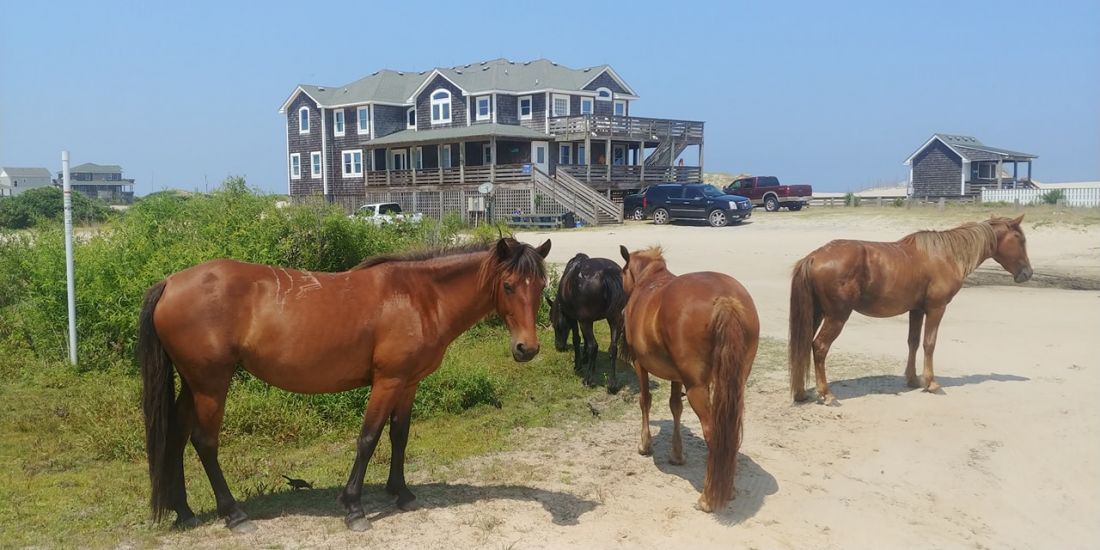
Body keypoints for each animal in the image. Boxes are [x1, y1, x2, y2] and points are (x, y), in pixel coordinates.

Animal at [139, 237, 551, 533]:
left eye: (541, 285)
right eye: (509, 286)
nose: (526, 349)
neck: (419, 297)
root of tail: (170, 282)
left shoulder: (408, 384)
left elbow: (398, 435)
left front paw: (401, 493)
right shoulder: (387, 381)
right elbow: (368, 439)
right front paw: (354, 507)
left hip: (193, 384)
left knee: (176, 437)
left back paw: (184, 512)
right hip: (211, 384)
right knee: (204, 443)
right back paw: (234, 514)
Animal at [547, 253, 627, 393]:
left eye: (553, 321)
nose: (559, 347)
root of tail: (606, 272)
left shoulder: (574, 319)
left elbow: (577, 339)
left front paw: (578, 365)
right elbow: (584, 339)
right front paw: (585, 360)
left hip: (586, 321)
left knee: (593, 346)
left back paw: (588, 380)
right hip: (614, 318)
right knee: (613, 348)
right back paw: (612, 384)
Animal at [619, 245, 759, 513]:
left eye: (622, 272)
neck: (649, 282)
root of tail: (725, 300)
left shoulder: (640, 365)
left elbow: (645, 401)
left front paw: (645, 444)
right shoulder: (677, 375)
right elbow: (675, 407)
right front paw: (677, 454)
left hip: (697, 388)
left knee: (713, 433)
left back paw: (707, 498)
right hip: (734, 384)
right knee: (730, 432)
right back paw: (728, 488)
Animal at [789, 215, 1032, 404]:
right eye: (1020, 240)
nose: (1027, 273)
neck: (946, 255)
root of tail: (814, 256)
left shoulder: (916, 310)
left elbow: (913, 342)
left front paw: (913, 379)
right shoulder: (936, 309)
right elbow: (929, 343)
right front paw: (931, 383)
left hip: (816, 314)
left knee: (803, 346)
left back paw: (800, 393)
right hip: (837, 317)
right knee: (819, 347)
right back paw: (827, 394)